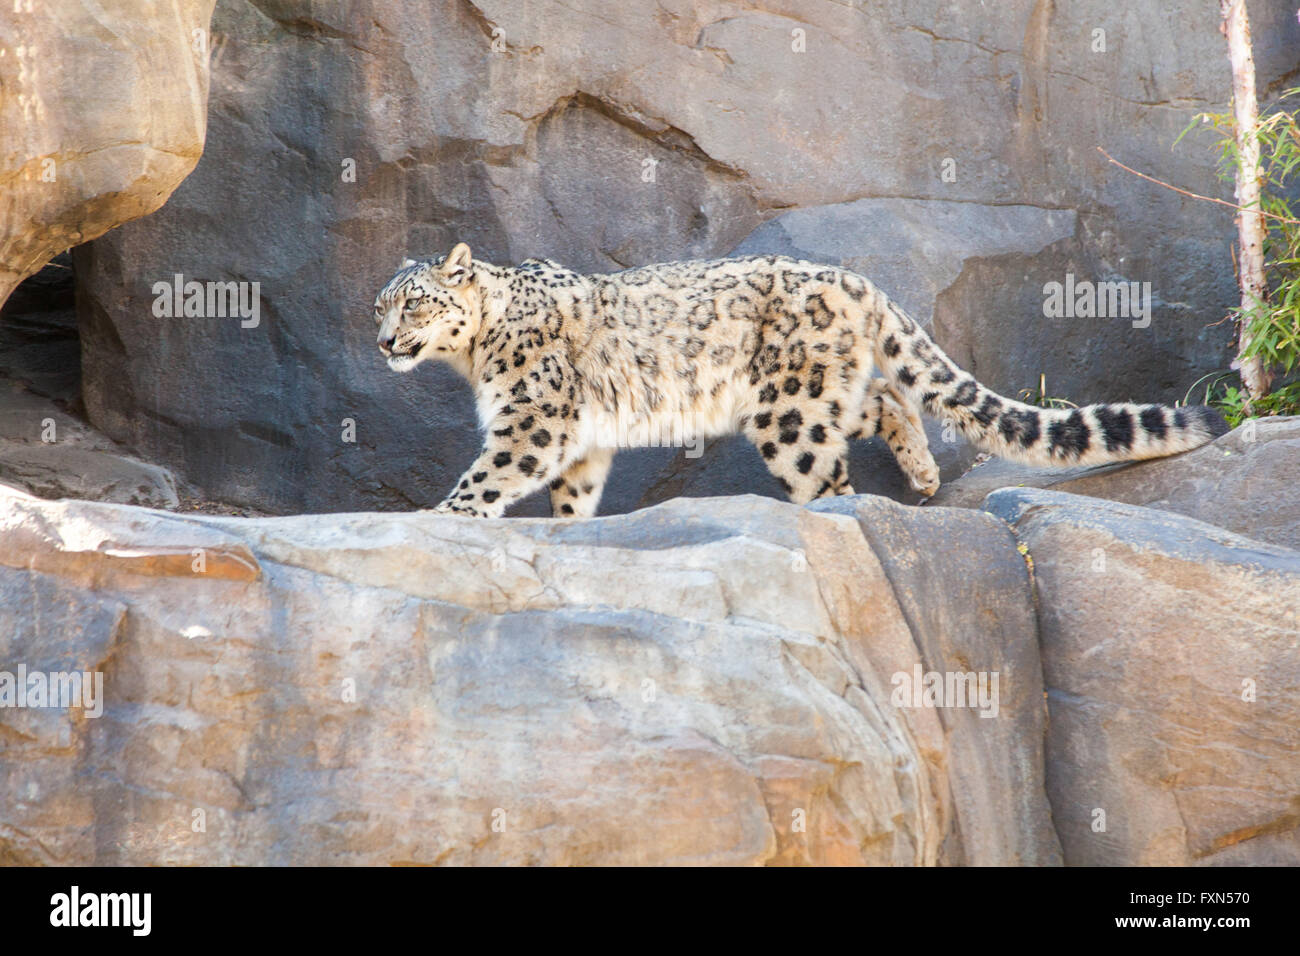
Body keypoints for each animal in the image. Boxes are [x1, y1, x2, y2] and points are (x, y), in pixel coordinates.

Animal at [373, 242, 1228, 519]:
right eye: (379, 304)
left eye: (415, 302)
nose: (383, 341)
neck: (475, 356)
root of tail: (851, 279)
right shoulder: (578, 442)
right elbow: (573, 497)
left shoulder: (534, 420)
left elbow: (486, 477)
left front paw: (442, 519)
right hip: (813, 396)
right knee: (883, 395)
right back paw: (922, 474)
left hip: (790, 413)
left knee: (832, 474)